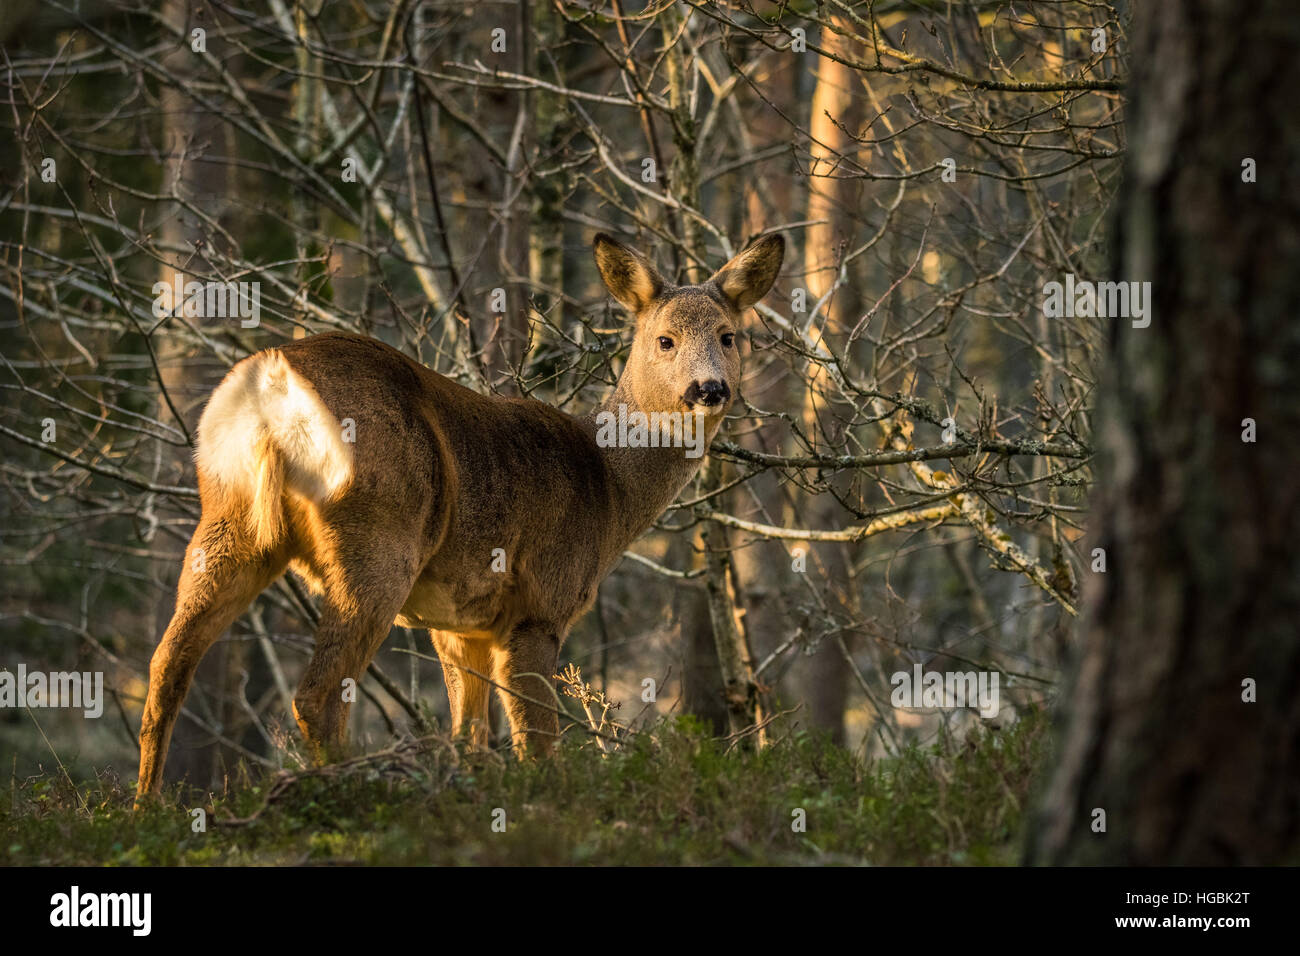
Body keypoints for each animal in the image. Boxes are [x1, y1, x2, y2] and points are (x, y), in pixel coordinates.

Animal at [135, 231, 784, 802]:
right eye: (666, 339)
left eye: (729, 336)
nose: (708, 389)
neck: (608, 490)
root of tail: (272, 379)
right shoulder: (537, 605)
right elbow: (535, 740)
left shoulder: (459, 624)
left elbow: (469, 735)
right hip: (377, 532)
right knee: (316, 693)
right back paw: (346, 788)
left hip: (226, 518)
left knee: (166, 667)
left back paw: (147, 806)